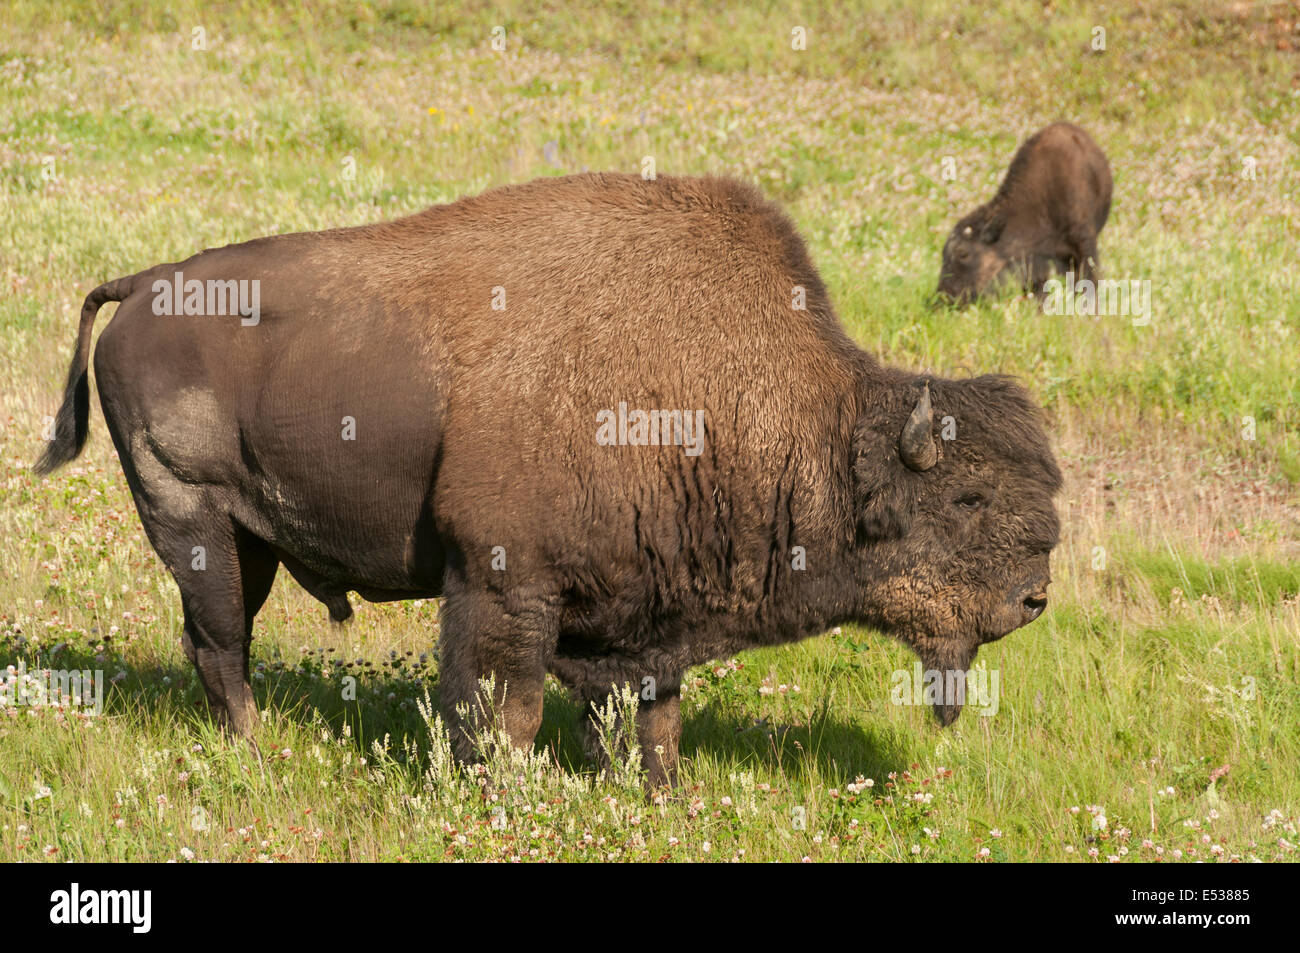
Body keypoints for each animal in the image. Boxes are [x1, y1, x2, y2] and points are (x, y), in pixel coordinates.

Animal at [36, 173, 1061, 787]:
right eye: (966, 500)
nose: (1035, 596)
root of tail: (143, 285)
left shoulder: (641, 612)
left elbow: (648, 713)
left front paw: (660, 792)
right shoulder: (503, 584)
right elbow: (507, 707)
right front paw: (499, 787)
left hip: (242, 539)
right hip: (195, 523)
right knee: (220, 643)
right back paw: (254, 753)